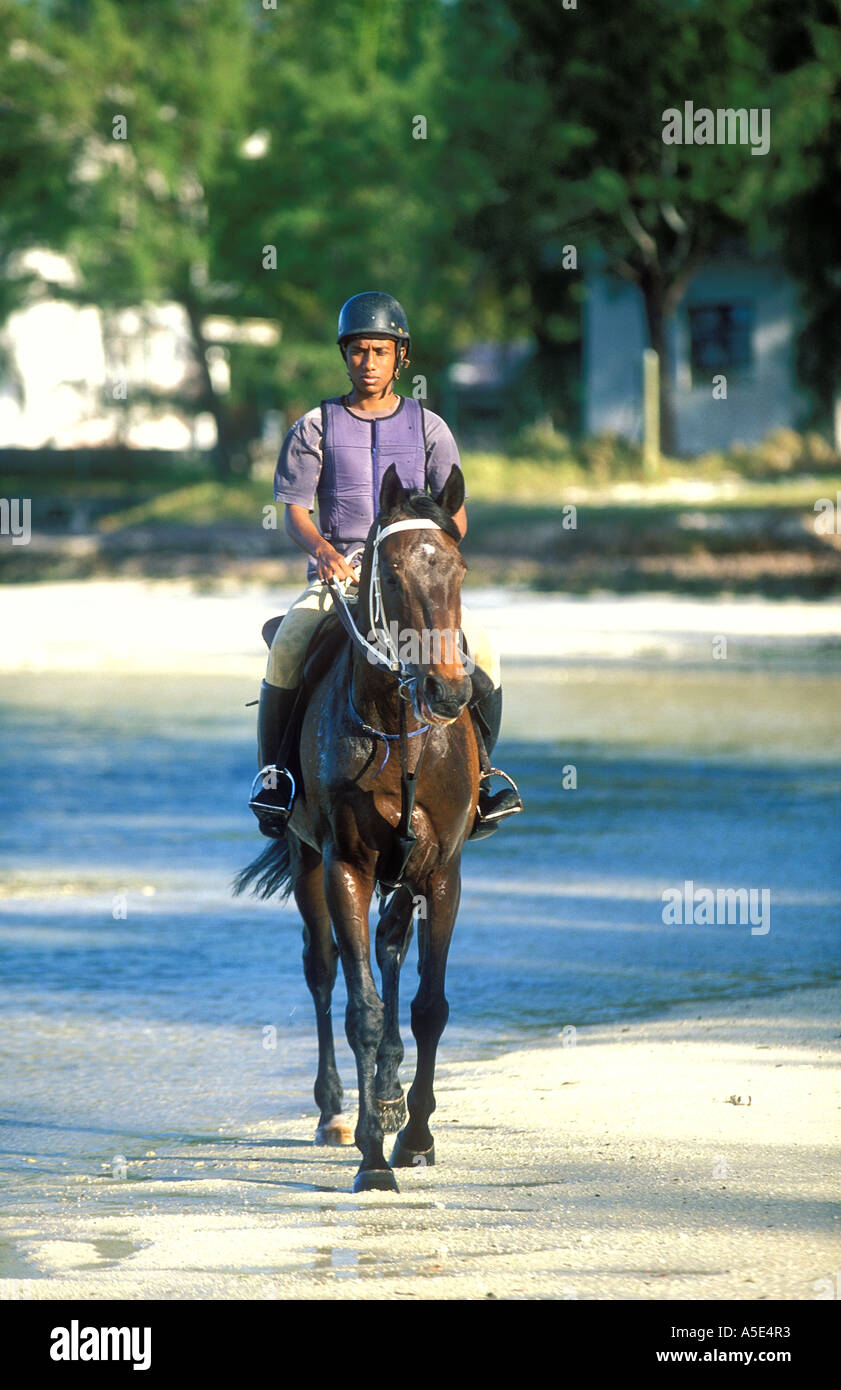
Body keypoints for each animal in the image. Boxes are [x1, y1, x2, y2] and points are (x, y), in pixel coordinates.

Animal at [234, 462, 480, 1192]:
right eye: (391, 577)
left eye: (459, 570)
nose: (447, 692)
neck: (399, 730)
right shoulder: (345, 862)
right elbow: (361, 1007)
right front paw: (373, 1158)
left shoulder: (443, 870)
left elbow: (429, 1006)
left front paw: (416, 1137)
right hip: (307, 861)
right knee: (324, 969)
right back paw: (336, 1112)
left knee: (389, 951)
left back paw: (391, 1094)